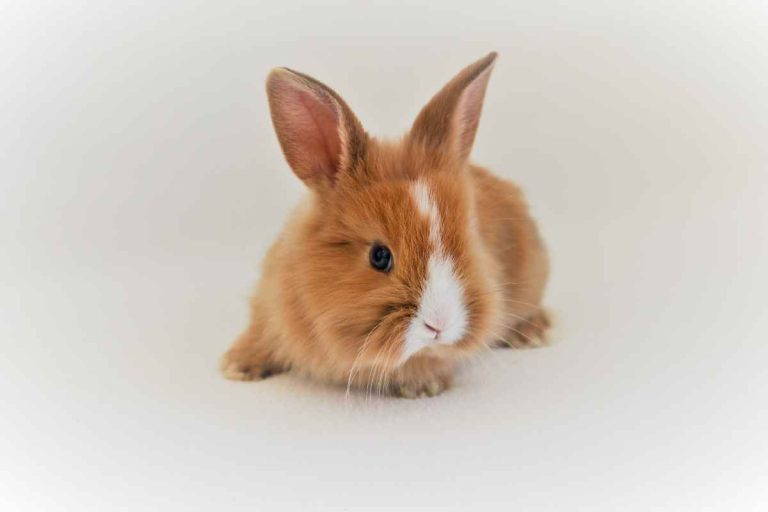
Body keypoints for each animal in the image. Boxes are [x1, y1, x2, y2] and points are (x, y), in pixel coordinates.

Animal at [220, 52, 550, 398]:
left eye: (467, 244)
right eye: (379, 256)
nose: (438, 326)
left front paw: (423, 386)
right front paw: (236, 366)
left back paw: (533, 333)